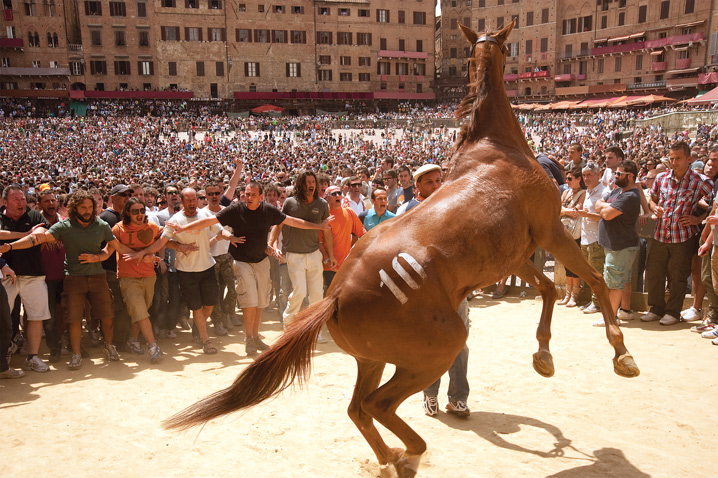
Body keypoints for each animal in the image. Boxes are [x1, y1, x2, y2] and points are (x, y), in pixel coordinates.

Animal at [165, 21, 640, 478]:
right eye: (508, 47)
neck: (495, 147)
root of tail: (335, 296)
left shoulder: (516, 254)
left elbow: (546, 288)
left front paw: (544, 355)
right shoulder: (550, 231)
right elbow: (593, 280)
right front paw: (622, 353)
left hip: (372, 359)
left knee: (358, 408)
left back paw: (391, 457)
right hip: (433, 352)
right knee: (377, 405)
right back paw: (407, 455)